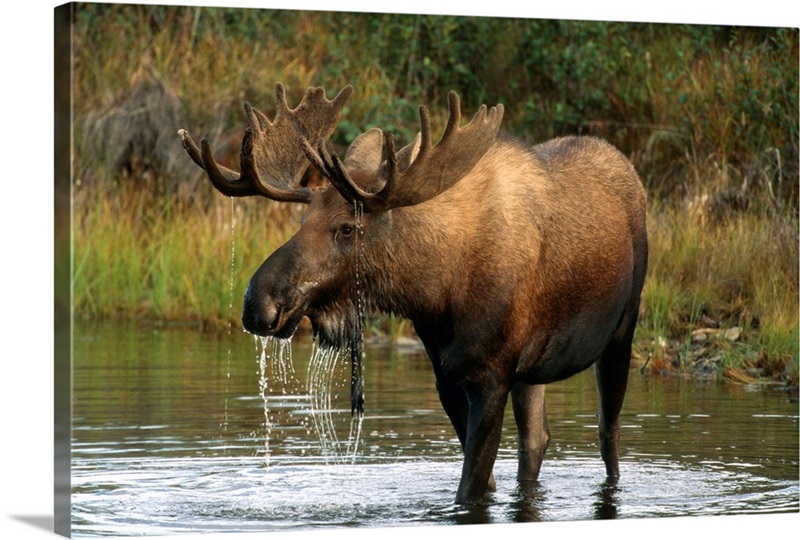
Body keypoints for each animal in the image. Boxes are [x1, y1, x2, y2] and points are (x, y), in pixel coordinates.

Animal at [178, 83, 648, 505]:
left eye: (346, 228)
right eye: (302, 220)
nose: (258, 303)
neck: (435, 290)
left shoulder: (491, 375)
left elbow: (470, 489)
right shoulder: (448, 375)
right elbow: (486, 482)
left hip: (621, 332)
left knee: (607, 435)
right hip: (532, 372)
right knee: (536, 440)